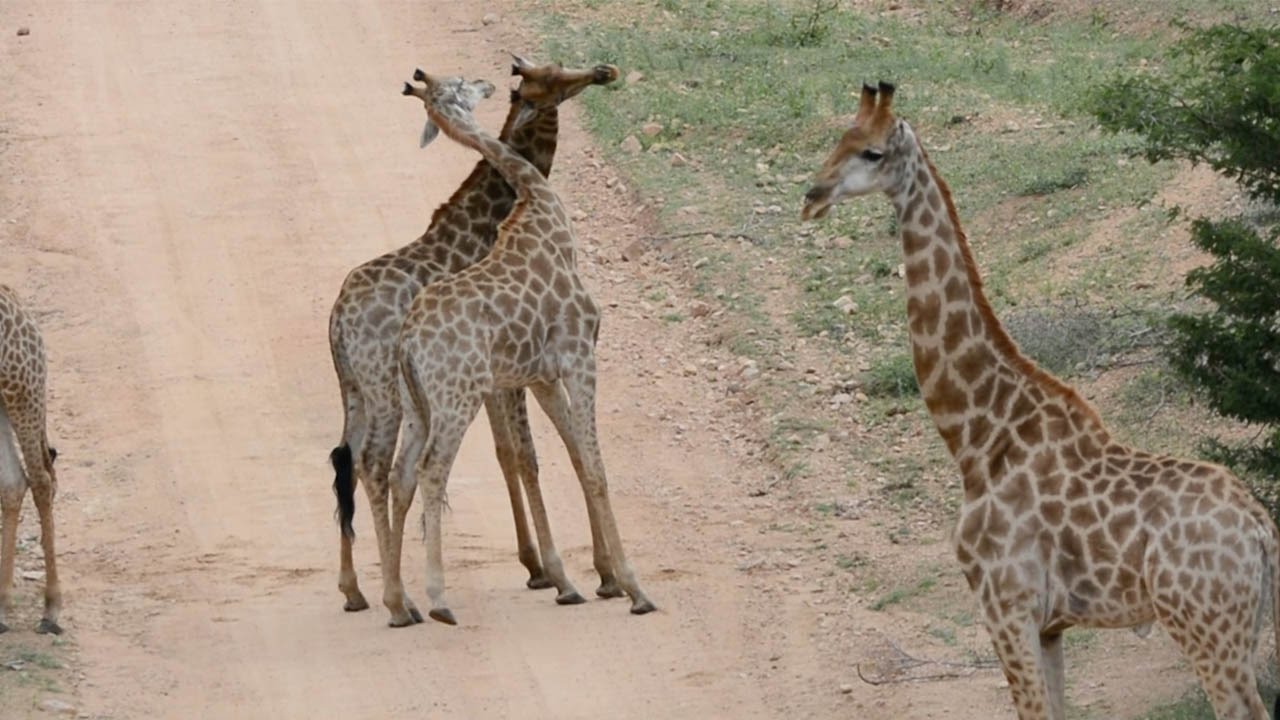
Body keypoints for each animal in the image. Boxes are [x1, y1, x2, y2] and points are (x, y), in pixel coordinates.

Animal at [328, 58, 620, 625]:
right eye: (549, 78)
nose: (602, 71)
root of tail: (337, 318)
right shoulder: (513, 378)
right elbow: (527, 456)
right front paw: (564, 573)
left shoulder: (502, 380)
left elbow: (521, 453)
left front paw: (558, 568)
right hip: (387, 392)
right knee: (377, 466)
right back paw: (405, 601)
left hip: (356, 391)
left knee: (345, 465)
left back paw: (358, 592)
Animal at [395, 69, 654, 625]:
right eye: (460, 86)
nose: (487, 82)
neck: (540, 207)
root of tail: (407, 341)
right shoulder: (579, 354)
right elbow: (595, 467)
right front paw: (633, 587)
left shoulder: (540, 374)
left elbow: (573, 454)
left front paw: (597, 578)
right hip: (458, 397)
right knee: (432, 471)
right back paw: (438, 599)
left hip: (418, 403)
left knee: (400, 477)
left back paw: (398, 602)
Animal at [802, 82, 1280, 720]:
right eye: (839, 138)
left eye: (872, 152)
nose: (812, 196)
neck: (977, 438)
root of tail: (1260, 529)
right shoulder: (1050, 625)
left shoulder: (1007, 608)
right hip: (1239, 628)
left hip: (1204, 627)